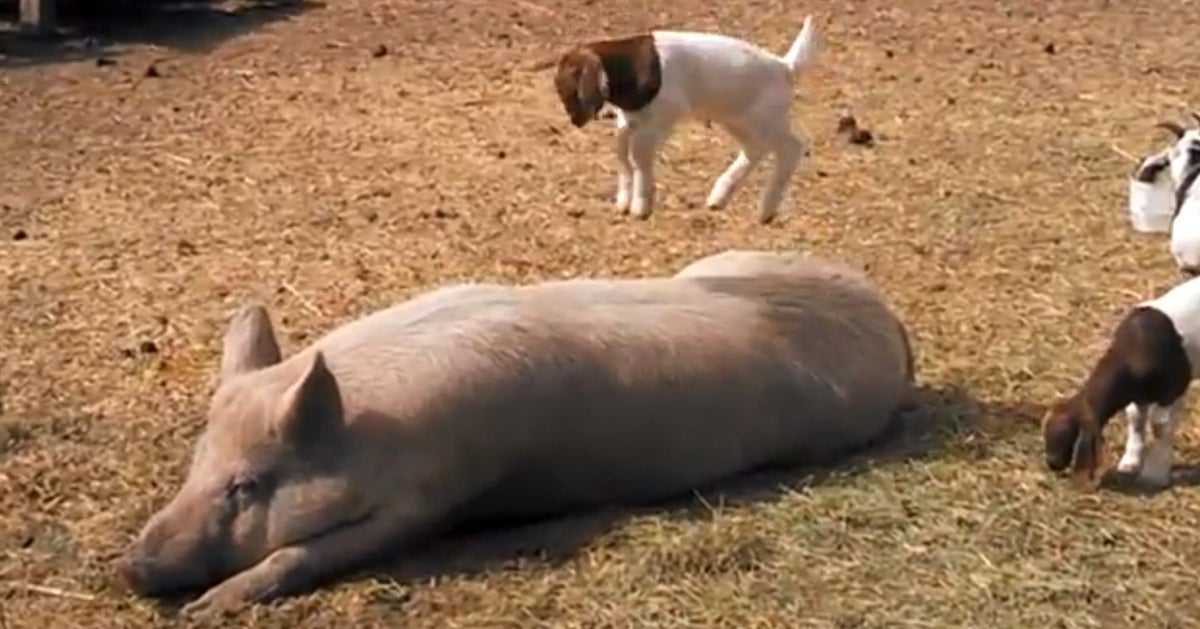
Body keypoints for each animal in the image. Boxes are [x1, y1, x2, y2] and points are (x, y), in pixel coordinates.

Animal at [114, 249, 916, 618]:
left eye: (247, 484)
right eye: (196, 462)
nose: (131, 567)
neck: (371, 431)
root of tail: (892, 320)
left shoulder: (433, 493)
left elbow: (307, 552)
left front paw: (205, 610)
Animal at [553, 17, 821, 224]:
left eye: (571, 86)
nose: (575, 121)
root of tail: (786, 67)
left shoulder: (661, 118)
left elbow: (637, 157)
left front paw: (640, 208)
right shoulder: (629, 121)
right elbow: (621, 154)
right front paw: (623, 203)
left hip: (766, 119)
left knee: (792, 147)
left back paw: (764, 211)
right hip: (736, 118)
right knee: (756, 149)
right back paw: (719, 199)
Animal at [1042, 275, 1200, 489]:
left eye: (1068, 432)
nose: (1052, 462)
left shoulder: (1174, 390)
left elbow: (1160, 426)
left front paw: (1154, 474)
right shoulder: (1138, 395)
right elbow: (1135, 418)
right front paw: (1129, 463)